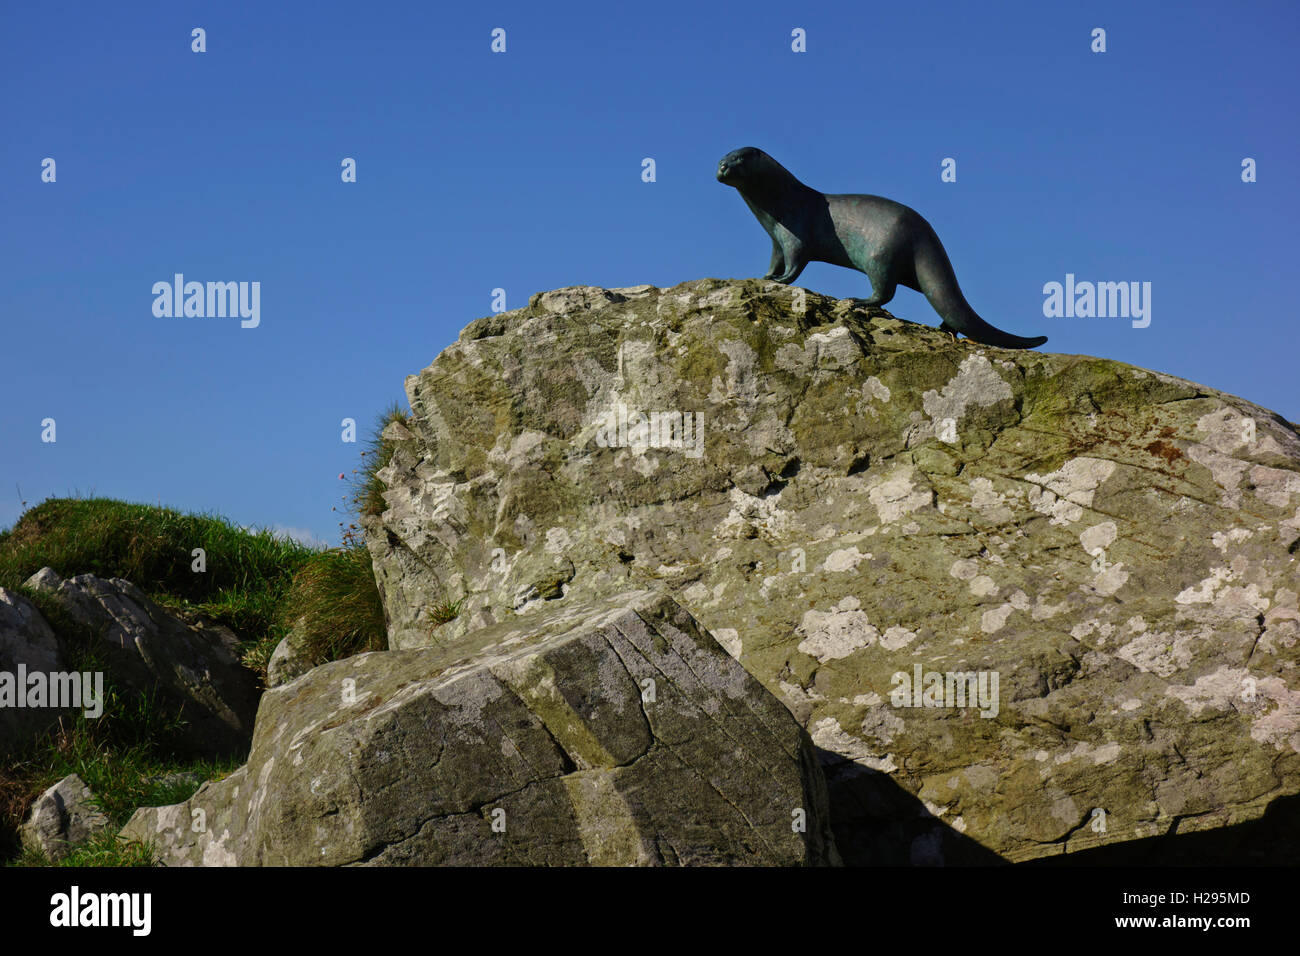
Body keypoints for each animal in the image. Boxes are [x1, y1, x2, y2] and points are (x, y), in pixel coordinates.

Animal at [717, 147, 1047, 350]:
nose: (720, 166)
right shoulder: (776, 239)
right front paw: (766, 277)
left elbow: (795, 264)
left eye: (739, 158)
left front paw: (781, 281)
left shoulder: (795, 235)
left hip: (880, 253)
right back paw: (944, 327)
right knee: (943, 300)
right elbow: (775, 261)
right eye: (724, 156)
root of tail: (926, 233)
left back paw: (858, 300)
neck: (780, 202)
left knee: (885, 292)